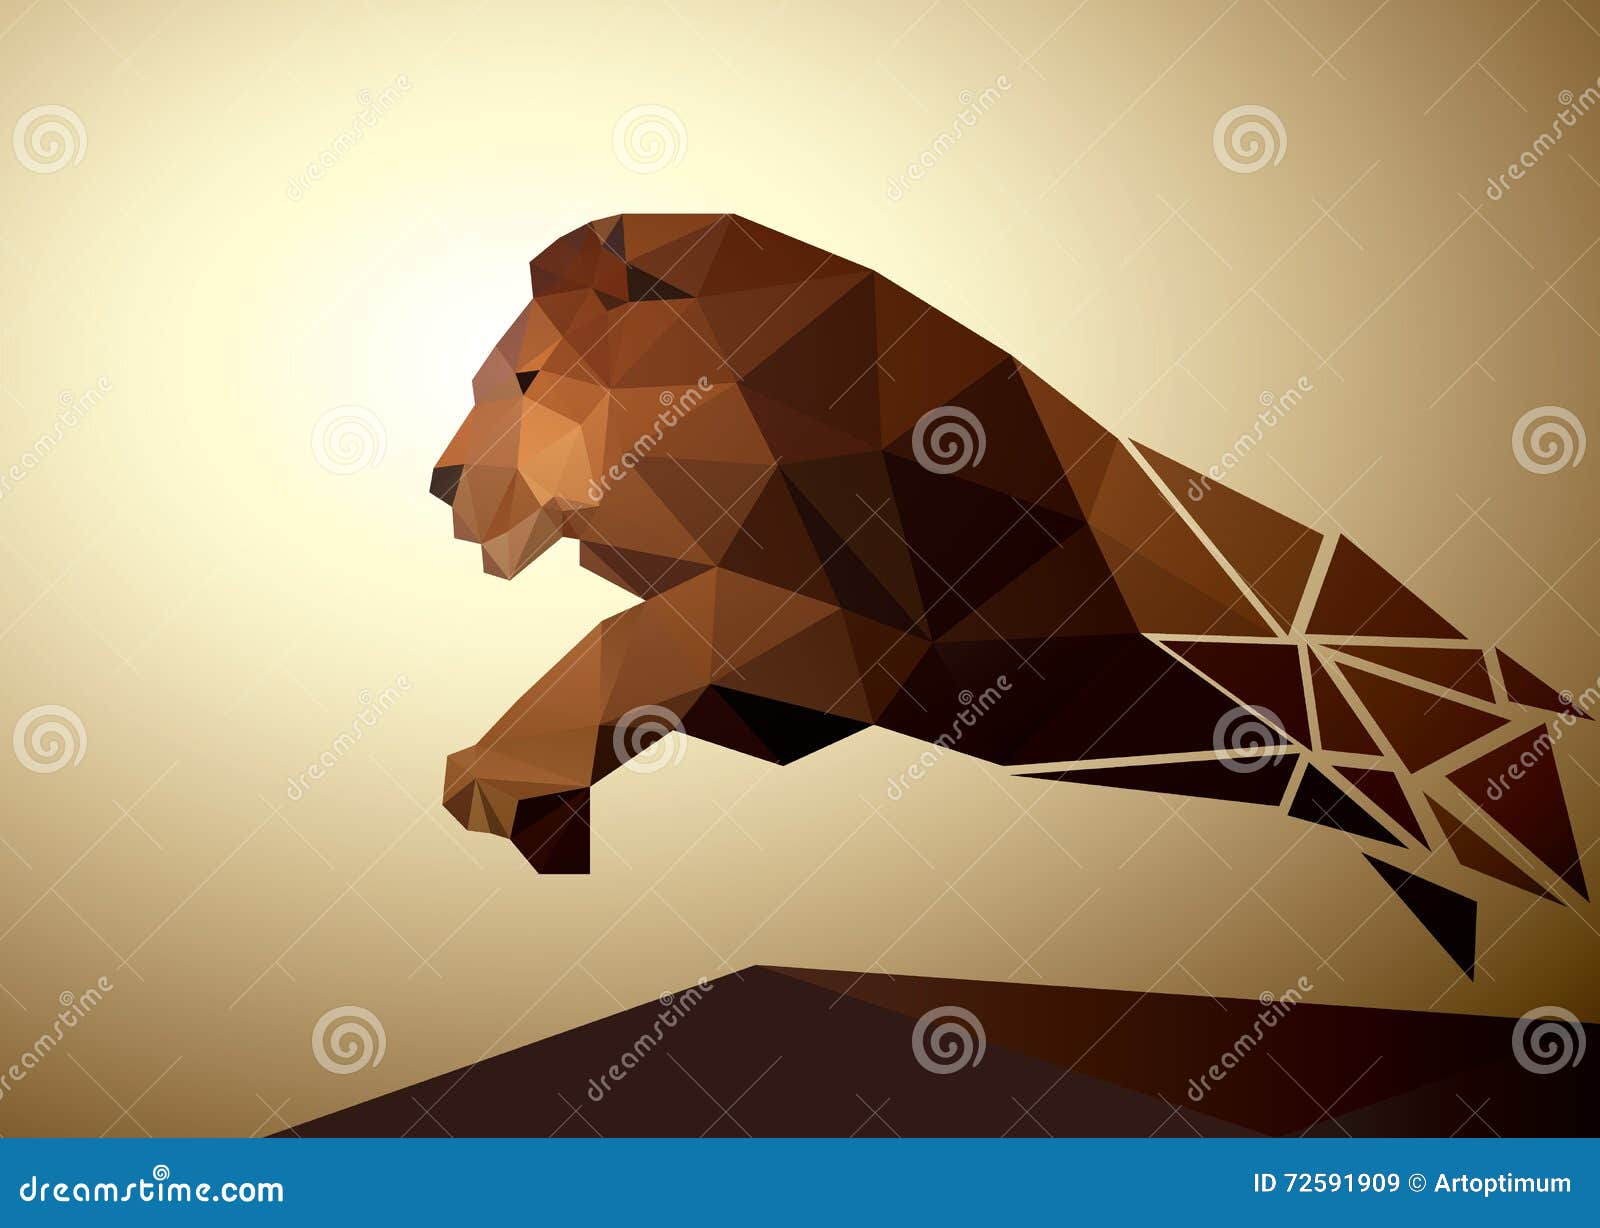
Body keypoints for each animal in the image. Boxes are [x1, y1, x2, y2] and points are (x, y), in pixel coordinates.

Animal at [432, 214, 1587, 974]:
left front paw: (491, 781)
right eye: (481, 385)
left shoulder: (840, 627)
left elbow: (611, 651)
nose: (441, 482)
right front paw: (533, 806)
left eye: (522, 383)